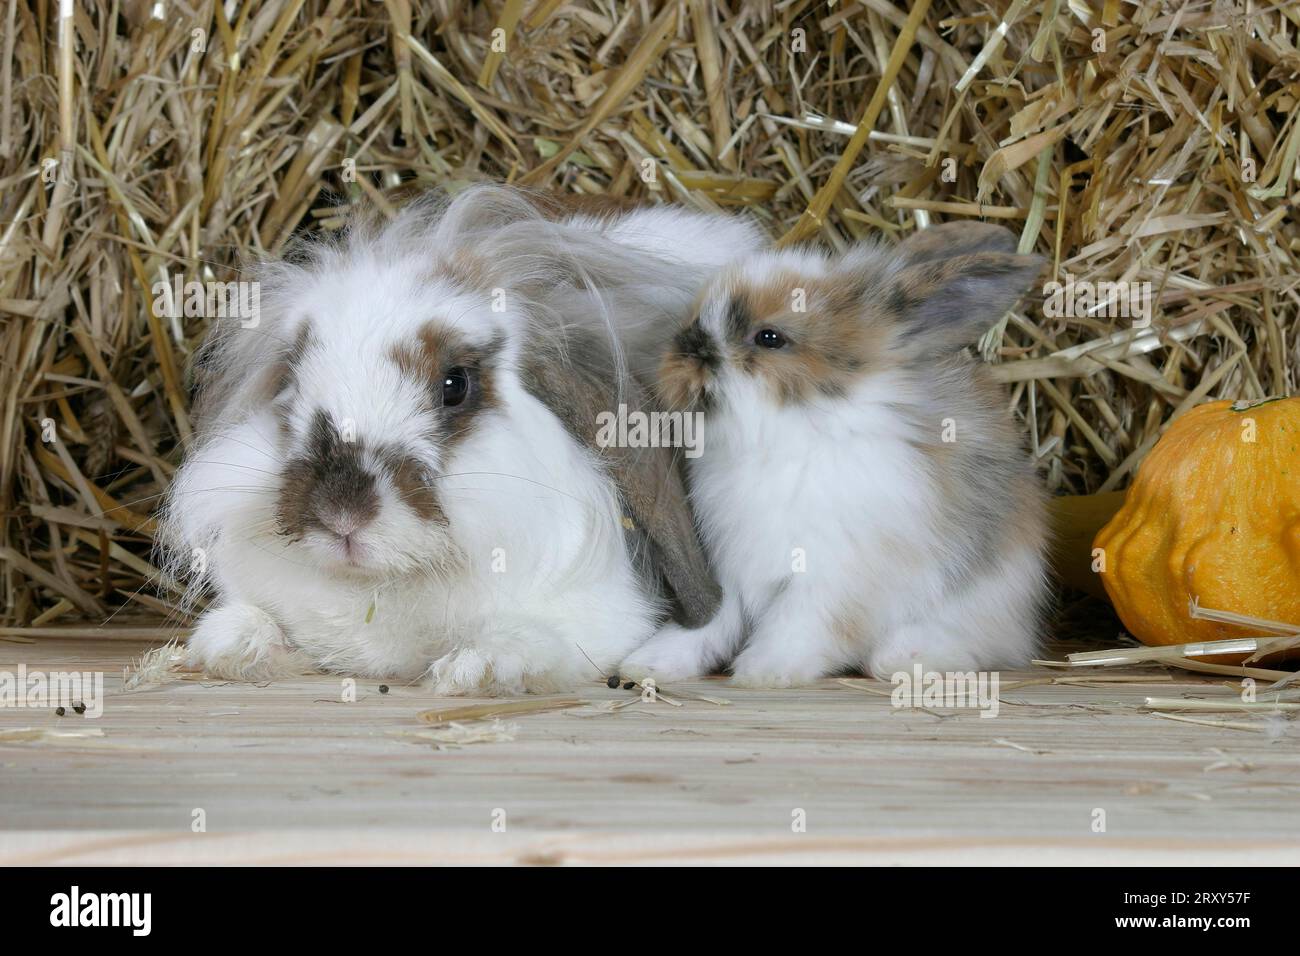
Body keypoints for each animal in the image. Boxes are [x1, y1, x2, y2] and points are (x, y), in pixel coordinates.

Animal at [159, 185, 763, 695]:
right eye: (291, 380)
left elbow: (538, 641)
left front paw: (478, 668)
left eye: (455, 385)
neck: (388, 582)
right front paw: (234, 645)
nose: (340, 515)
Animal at [618, 221, 1050, 687]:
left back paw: (907, 657)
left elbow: (800, 624)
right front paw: (648, 664)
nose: (683, 349)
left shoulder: (833, 578)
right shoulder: (726, 568)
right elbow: (710, 621)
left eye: (769, 337)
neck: (791, 433)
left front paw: (764, 672)